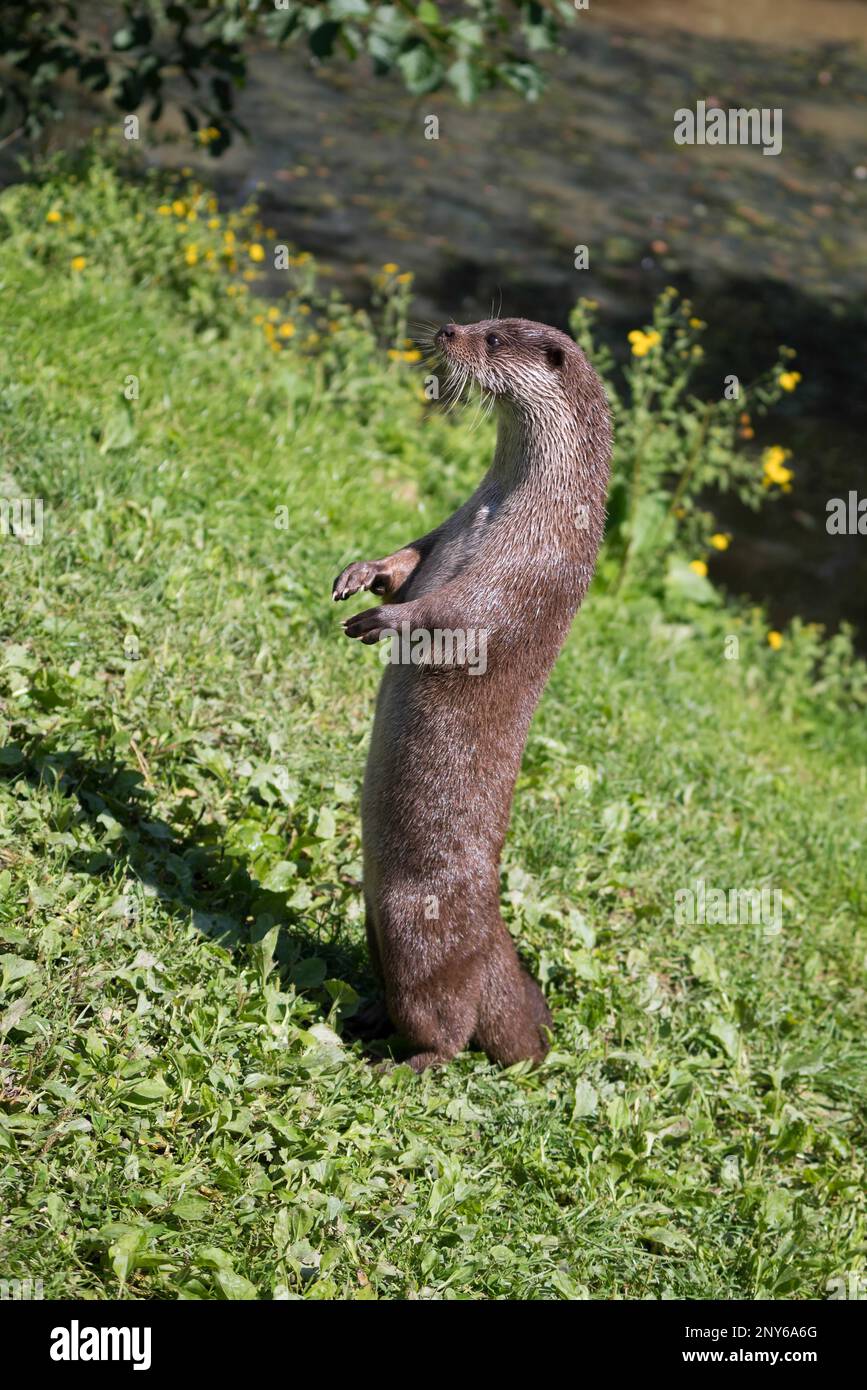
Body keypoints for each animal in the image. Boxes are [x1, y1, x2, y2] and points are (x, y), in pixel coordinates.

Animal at [332, 317, 612, 1071]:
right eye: (481, 322)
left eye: (495, 338)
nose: (449, 329)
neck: (505, 513)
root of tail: (494, 945)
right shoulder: (447, 526)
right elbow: (408, 561)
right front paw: (361, 572)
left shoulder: (522, 573)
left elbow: (452, 616)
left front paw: (385, 622)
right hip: (372, 914)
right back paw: (368, 1015)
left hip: (414, 926)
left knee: (451, 1027)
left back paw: (402, 1062)